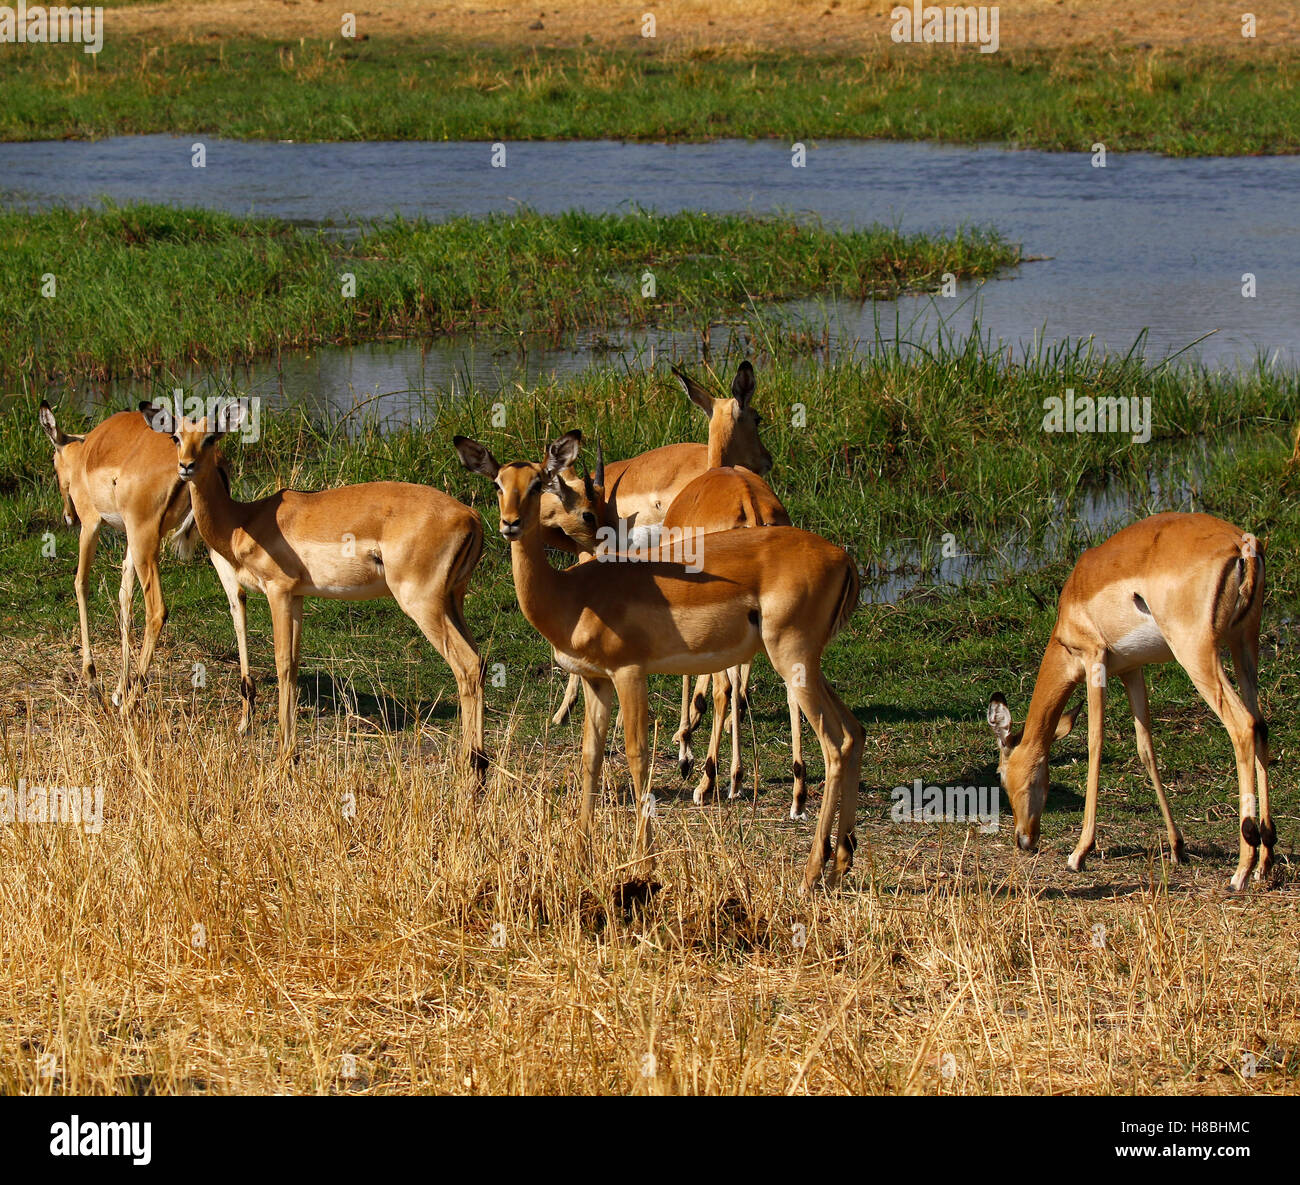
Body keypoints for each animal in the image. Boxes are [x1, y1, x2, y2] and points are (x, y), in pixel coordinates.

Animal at [39, 401, 252, 725]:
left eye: (53, 462)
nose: (68, 516)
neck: (87, 452)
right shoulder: (130, 540)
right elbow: (124, 598)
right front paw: (118, 689)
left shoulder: (92, 524)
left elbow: (81, 584)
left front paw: (94, 683)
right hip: (205, 538)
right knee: (237, 598)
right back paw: (245, 716)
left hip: (145, 540)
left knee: (157, 610)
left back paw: (130, 706)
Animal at [145, 400, 487, 772]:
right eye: (176, 436)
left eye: (210, 438)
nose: (185, 466)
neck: (243, 521)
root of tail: (470, 516)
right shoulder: (297, 597)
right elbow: (295, 664)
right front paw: (290, 750)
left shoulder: (278, 591)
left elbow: (281, 662)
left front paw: (284, 754)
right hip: (452, 601)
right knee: (480, 662)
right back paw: (480, 763)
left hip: (422, 603)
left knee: (466, 665)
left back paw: (469, 763)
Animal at [455, 429, 863, 891]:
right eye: (498, 483)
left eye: (539, 483)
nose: (510, 524)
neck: (571, 596)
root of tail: (843, 559)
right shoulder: (597, 681)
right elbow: (590, 755)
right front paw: (581, 851)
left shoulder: (630, 673)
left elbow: (637, 755)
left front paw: (644, 861)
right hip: (809, 664)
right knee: (855, 733)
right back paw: (841, 862)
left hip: (792, 660)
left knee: (834, 745)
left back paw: (809, 873)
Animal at [987, 512, 1271, 891]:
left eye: (1002, 775)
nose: (1023, 839)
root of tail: (1243, 544)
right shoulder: (1131, 670)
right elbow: (1145, 748)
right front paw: (1178, 847)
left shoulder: (1094, 659)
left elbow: (1095, 743)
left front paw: (1079, 853)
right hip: (1244, 645)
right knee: (1261, 725)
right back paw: (1265, 863)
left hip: (1197, 653)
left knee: (1243, 725)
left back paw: (1240, 872)